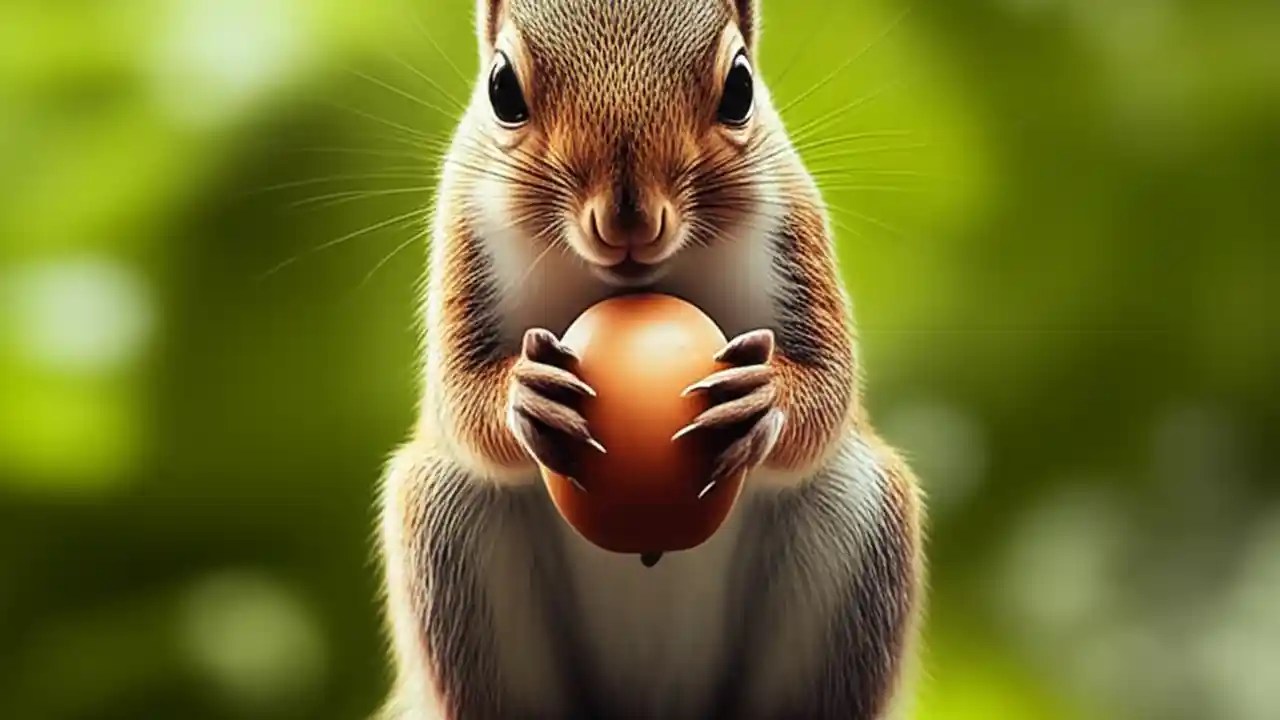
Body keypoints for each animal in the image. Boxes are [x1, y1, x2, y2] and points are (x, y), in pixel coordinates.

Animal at [376, 1, 925, 718]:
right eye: (502, 91)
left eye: (740, 88)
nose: (628, 221)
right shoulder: (462, 221)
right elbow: (461, 395)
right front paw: (525, 396)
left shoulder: (793, 217)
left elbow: (829, 385)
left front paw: (764, 398)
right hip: (448, 529)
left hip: (859, 524)